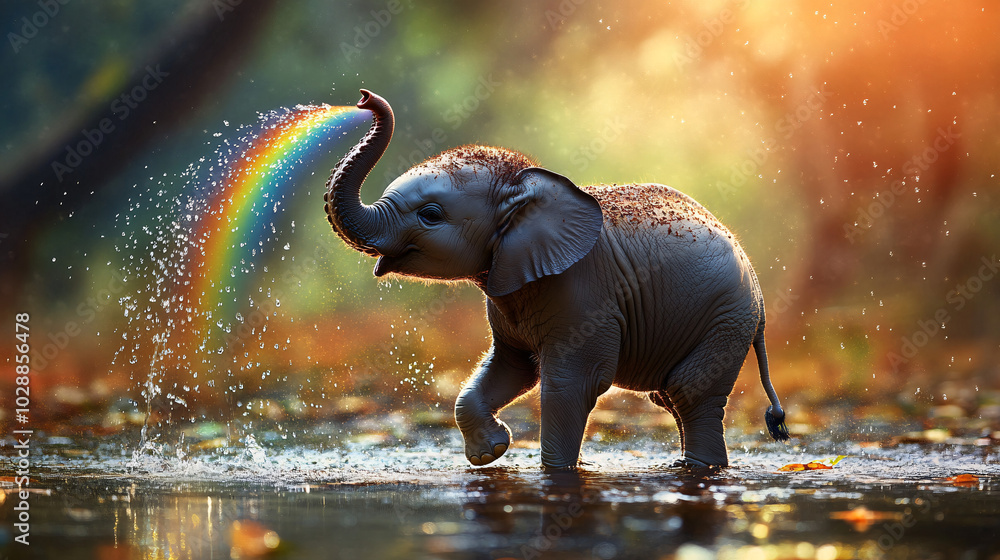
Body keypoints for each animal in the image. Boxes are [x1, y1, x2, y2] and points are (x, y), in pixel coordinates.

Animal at [323, 89, 789, 468]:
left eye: (431, 215)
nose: (364, 98)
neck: (527, 183)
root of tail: (757, 286)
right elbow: (512, 367)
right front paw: (491, 453)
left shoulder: (585, 296)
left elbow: (569, 386)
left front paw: (554, 471)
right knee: (669, 397)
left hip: (726, 319)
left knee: (689, 391)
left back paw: (700, 469)